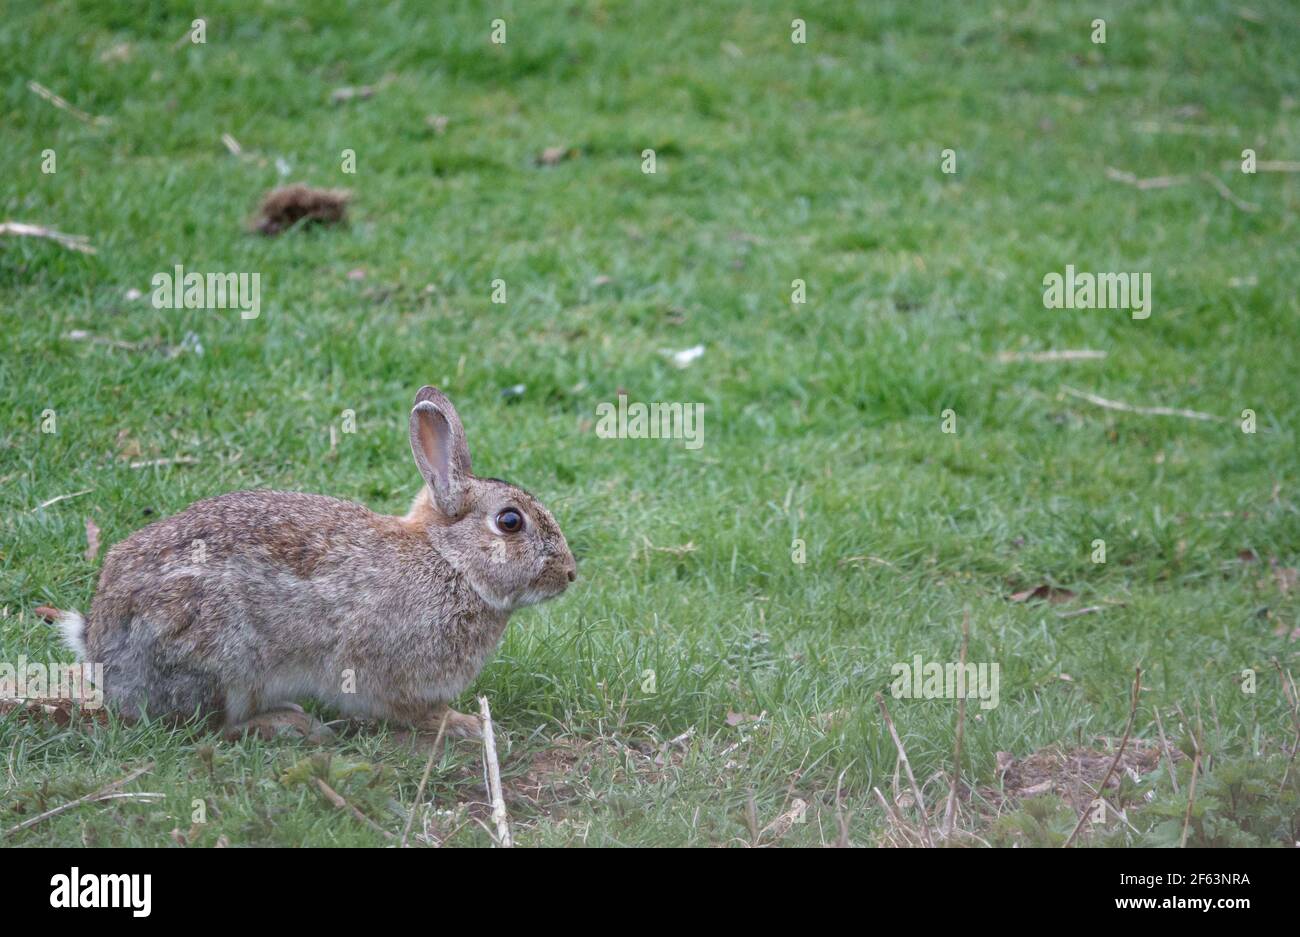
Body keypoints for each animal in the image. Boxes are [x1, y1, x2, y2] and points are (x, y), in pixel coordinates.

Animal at [38, 385, 576, 743]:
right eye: (510, 521)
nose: (570, 574)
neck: (450, 561)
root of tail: (100, 648)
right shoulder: (388, 672)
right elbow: (413, 711)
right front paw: (465, 725)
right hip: (219, 659)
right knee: (211, 727)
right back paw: (292, 723)